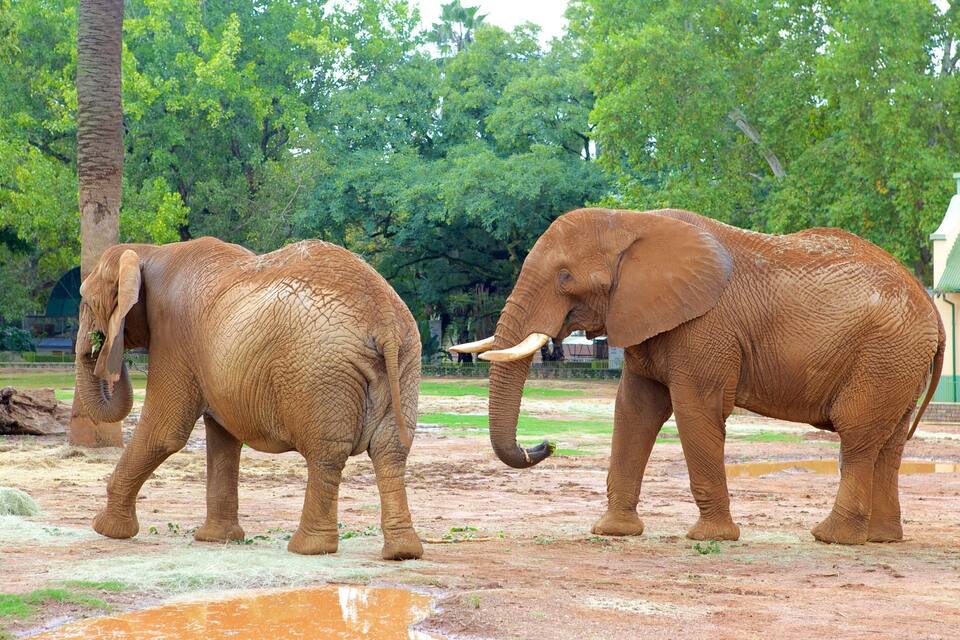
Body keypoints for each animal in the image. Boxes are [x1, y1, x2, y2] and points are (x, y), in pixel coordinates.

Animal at [75, 237, 423, 560]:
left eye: (86, 302)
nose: (102, 344)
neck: (149, 251)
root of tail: (384, 320)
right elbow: (223, 438)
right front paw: (218, 539)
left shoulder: (173, 336)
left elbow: (164, 432)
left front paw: (106, 530)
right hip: (406, 360)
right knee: (390, 450)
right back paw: (402, 552)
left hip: (320, 367)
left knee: (327, 453)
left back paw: (308, 549)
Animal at [451, 208, 944, 545]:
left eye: (565, 277)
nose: (546, 444)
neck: (631, 221)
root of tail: (933, 310)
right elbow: (634, 411)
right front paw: (613, 531)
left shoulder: (705, 328)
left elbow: (694, 411)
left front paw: (710, 538)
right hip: (898, 360)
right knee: (889, 445)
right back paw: (881, 539)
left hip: (885, 354)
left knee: (858, 438)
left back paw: (830, 537)